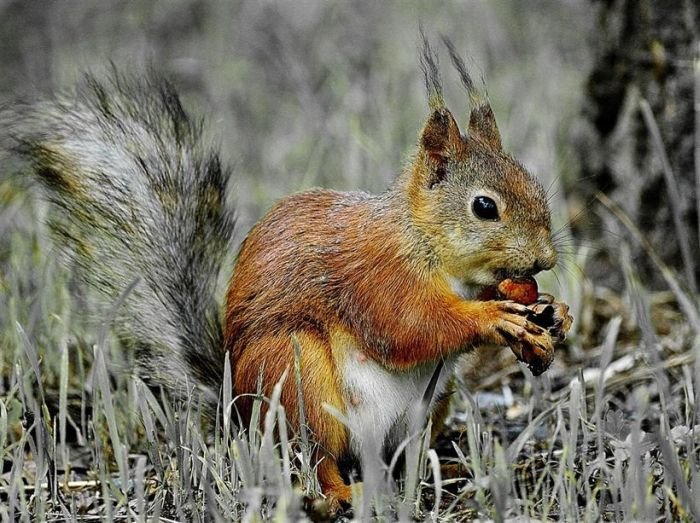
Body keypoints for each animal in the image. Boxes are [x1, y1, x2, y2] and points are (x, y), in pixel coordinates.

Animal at [3, 38, 572, 512]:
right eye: (484, 207)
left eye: (533, 182)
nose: (545, 258)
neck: (429, 246)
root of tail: (235, 410)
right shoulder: (376, 275)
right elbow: (406, 328)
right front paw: (495, 319)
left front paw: (553, 317)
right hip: (297, 378)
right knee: (313, 458)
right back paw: (343, 493)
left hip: (429, 404)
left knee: (396, 457)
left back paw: (443, 470)